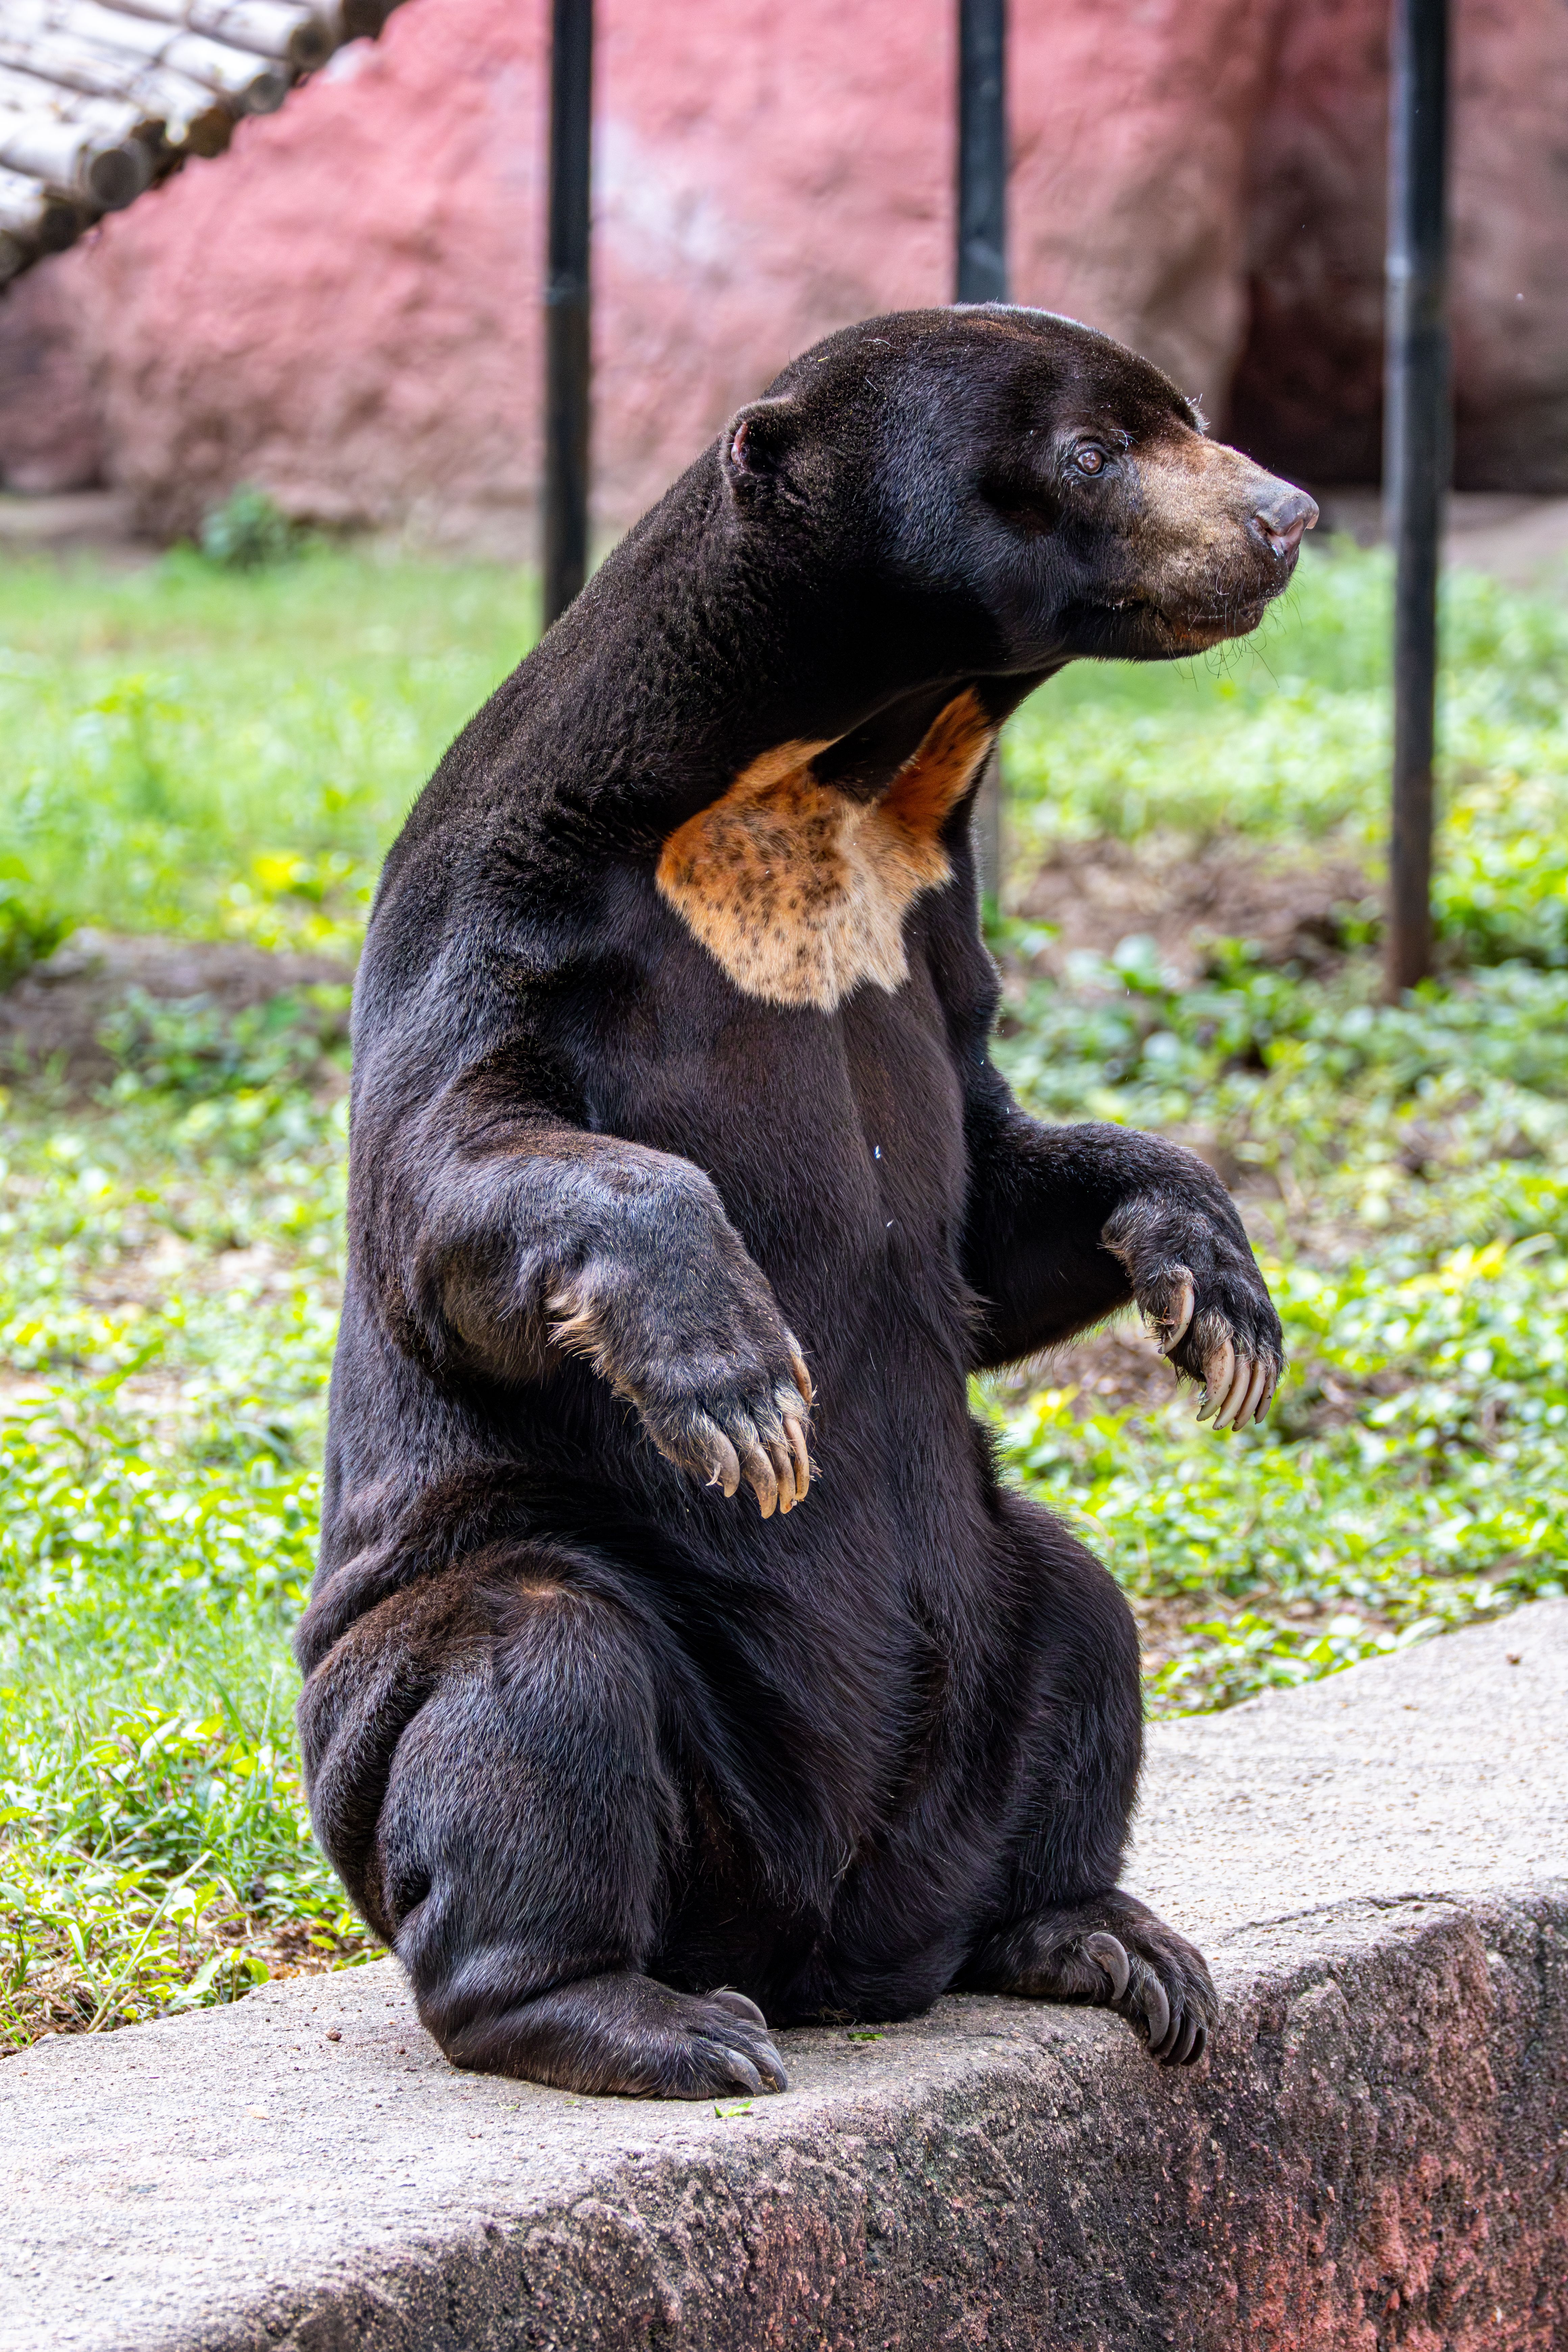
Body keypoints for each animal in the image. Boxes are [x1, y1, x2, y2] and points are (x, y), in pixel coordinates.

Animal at [295, 306, 1309, 2101]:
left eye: (1183, 413)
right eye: (1090, 453)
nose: (1286, 517)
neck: (823, 781)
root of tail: (825, 1938)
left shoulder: (922, 925)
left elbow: (984, 1204)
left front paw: (1218, 1298)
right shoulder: (512, 907)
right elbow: (450, 1177)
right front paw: (740, 1381)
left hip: (984, 1625)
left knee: (1082, 1619)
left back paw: (1093, 1938)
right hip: (436, 1681)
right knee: (538, 1681)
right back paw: (646, 2019)